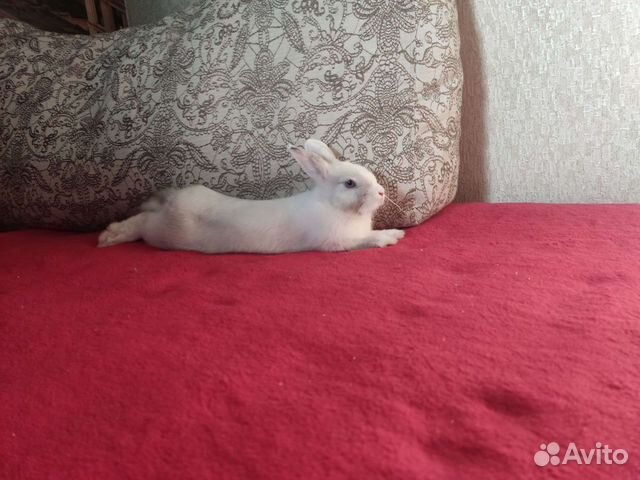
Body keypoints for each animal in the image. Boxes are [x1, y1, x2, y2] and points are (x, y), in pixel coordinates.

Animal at [97, 139, 405, 254]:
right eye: (350, 183)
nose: (381, 192)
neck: (332, 206)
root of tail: (171, 202)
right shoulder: (337, 241)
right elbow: (365, 240)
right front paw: (391, 237)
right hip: (163, 233)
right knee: (140, 224)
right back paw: (108, 237)